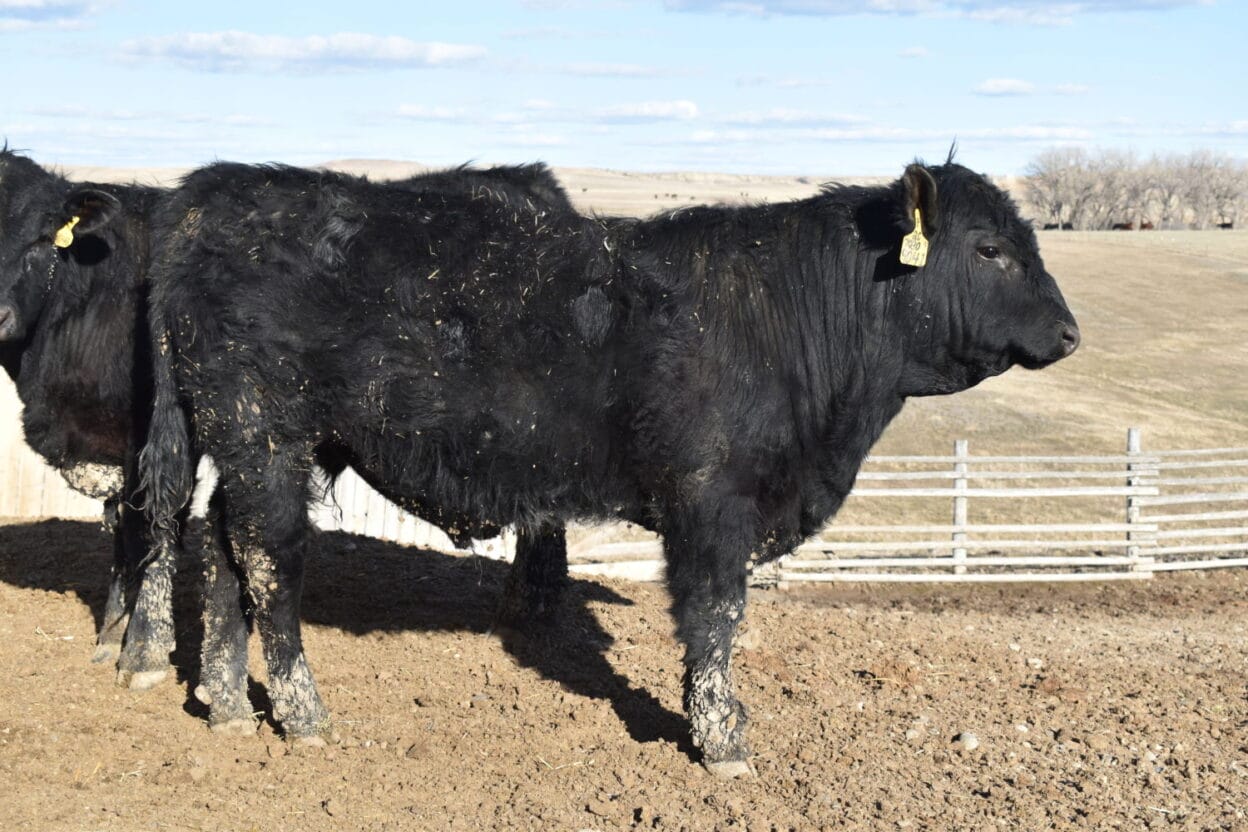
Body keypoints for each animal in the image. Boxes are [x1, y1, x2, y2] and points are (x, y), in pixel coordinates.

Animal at [140, 158, 1079, 776]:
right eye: (989, 249)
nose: (1070, 333)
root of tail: (212, 193)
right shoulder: (712, 503)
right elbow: (715, 618)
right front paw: (722, 740)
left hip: (255, 442)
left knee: (223, 551)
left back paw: (226, 704)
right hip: (266, 434)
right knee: (269, 559)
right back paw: (301, 713)